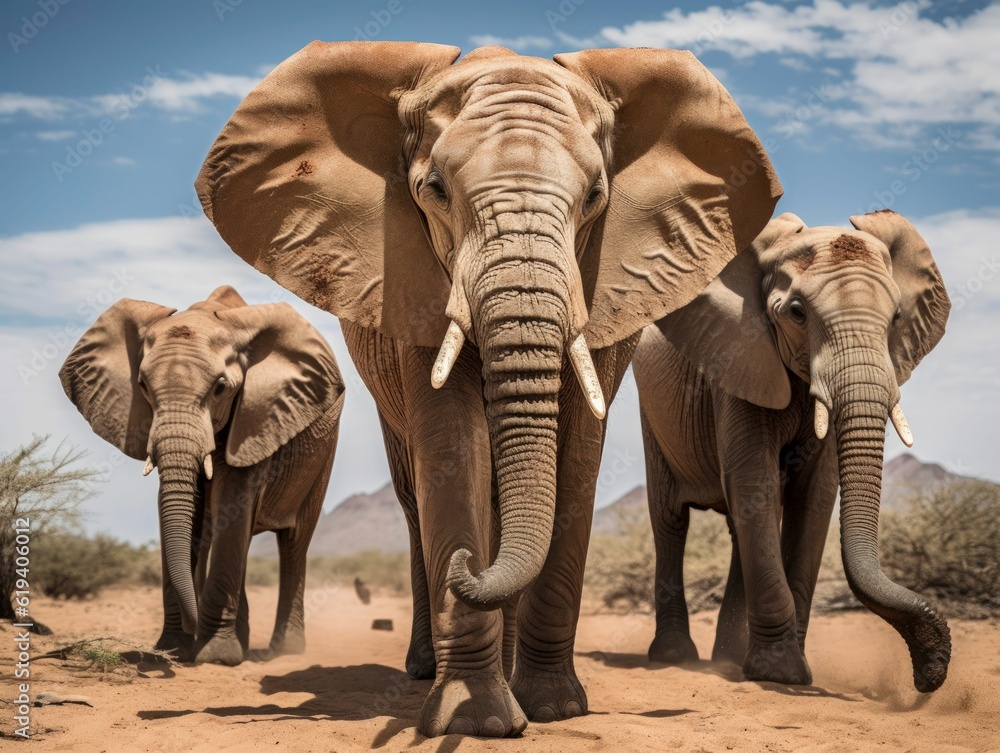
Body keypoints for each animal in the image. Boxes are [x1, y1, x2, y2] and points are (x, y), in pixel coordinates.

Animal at [59, 285, 345, 665]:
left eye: (221, 388)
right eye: (142, 385)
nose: (189, 632)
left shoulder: (256, 418)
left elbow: (233, 503)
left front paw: (216, 657)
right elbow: (185, 514)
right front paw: (174, 649)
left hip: (322, 454)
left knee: (295, 542)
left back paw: (285, 650)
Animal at [195, 41, 781, 736]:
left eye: (595, 197)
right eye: (434, 191)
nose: (466, 568)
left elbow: (577, 460)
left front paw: (552, 708)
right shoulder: (413, 284)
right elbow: (452, 451)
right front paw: (475, 720)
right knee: (414, 498)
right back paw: (428, 664)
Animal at [633, 210, 952, 692]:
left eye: (896, 316)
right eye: (797, 314)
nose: (927, 677)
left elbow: (813, 497)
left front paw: (786, 674)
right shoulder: (739, 357)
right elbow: (754, 480)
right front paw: (778, 673)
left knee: (737, 525)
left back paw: (727, 660)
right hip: (652, 415)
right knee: (670, 521)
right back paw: (673, 657)